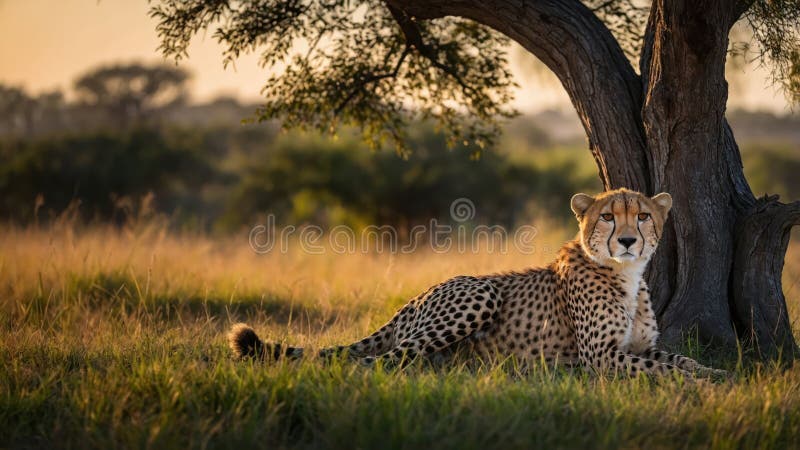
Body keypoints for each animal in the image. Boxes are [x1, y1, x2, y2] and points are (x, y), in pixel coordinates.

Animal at [229, 188, 726, 378]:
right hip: (481, 291)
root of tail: (414, 299)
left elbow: (678, 358)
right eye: (607, 216)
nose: (626, 240)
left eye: (641, 215)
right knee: (377, 361)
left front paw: (716, 373)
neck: (626, 275)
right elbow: (663, 370)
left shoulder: (640, 347)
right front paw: (704, 385)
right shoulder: (601, 357)